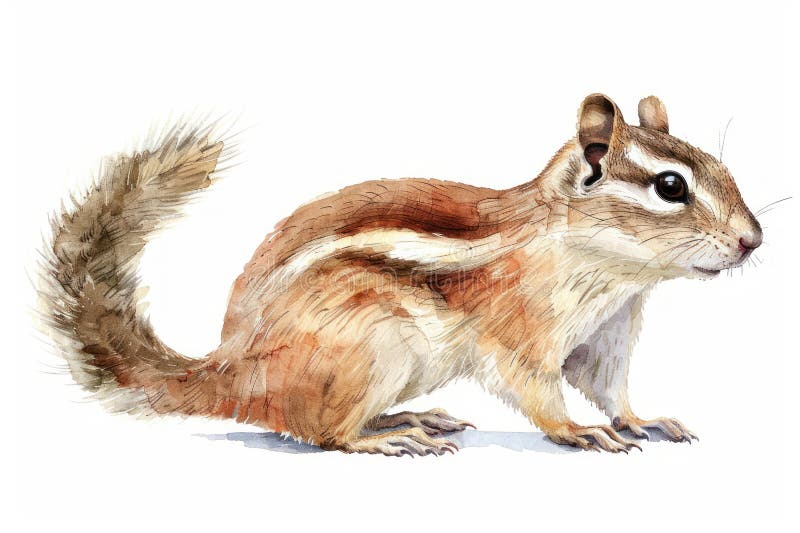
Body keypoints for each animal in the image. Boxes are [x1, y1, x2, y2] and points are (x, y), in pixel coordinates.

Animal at [38, 94, 762, 455]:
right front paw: (577, 432)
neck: (609, 267)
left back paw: (409, 419)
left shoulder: (607, 330)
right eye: (670, 186)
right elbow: (536, 387)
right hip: (369, 344)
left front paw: (642, 419)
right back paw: (387, 440)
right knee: (322, 434)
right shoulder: (522, 327)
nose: (753, 240)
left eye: (720, 167)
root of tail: (232, 371)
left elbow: (606, 385)